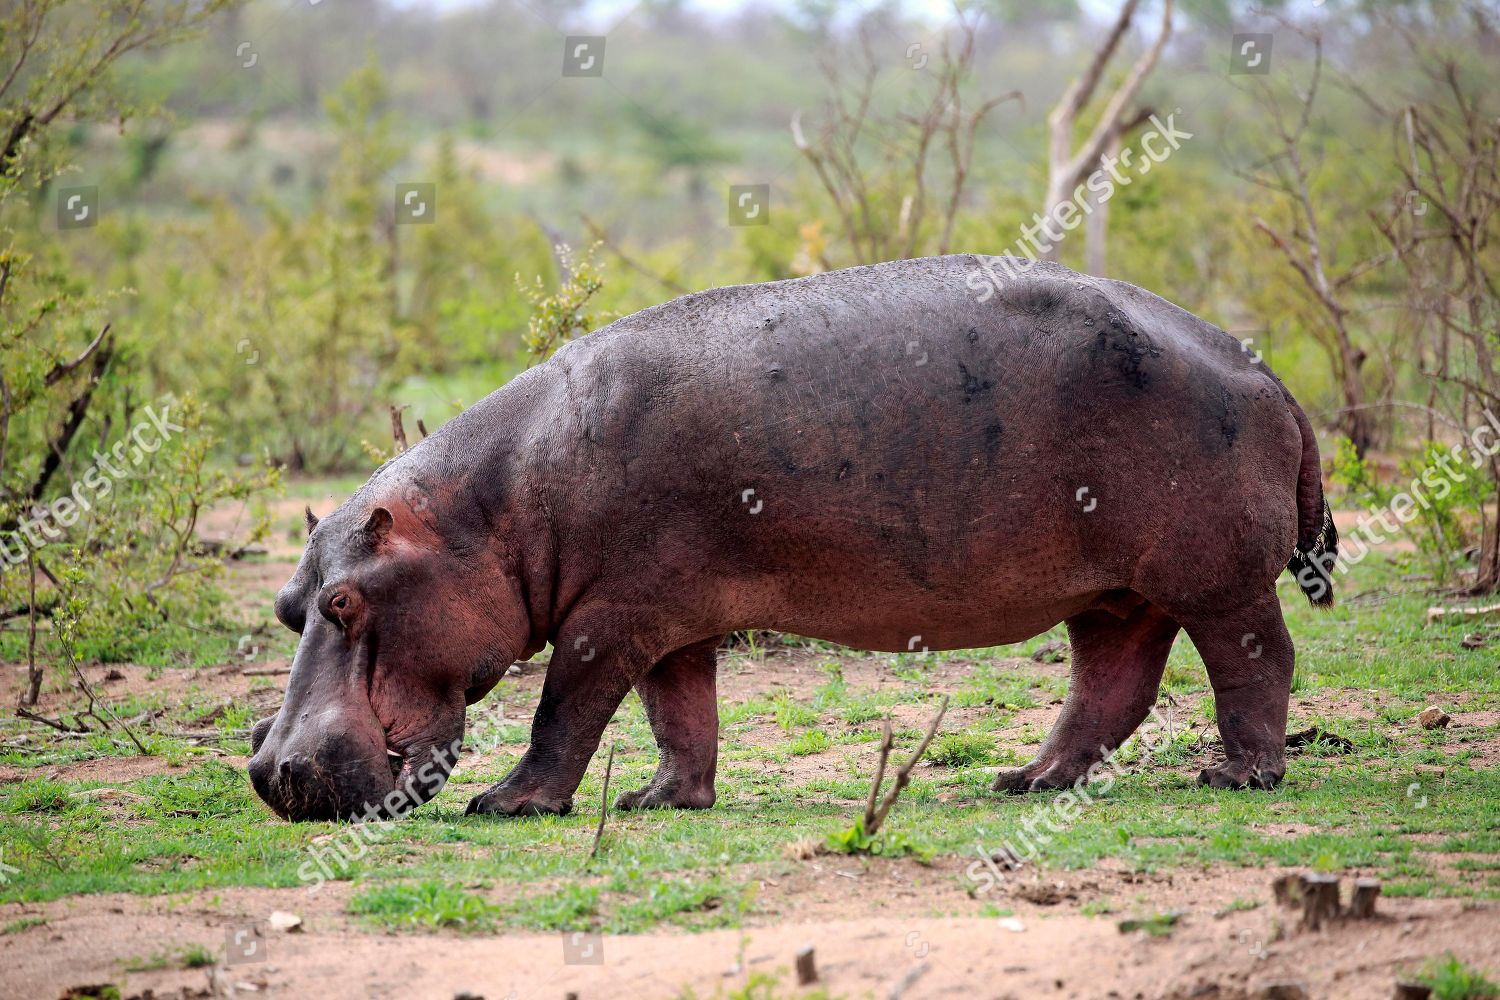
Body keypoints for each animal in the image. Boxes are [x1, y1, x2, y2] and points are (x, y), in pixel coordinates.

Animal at [248, 255, 1337, 822]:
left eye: (345, 602)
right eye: (290, 605)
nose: (268, 772)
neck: (496, 508)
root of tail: (1263, 368)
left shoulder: (610, 615)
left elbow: (567, 708)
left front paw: (509, 803)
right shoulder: (668, 615)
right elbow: (678, 713)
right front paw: (659, 800)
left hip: (1216, 579)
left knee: (1256, 660)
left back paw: (1237, 775)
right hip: (1115, 591)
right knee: (1111, 686)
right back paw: (1024, 780)